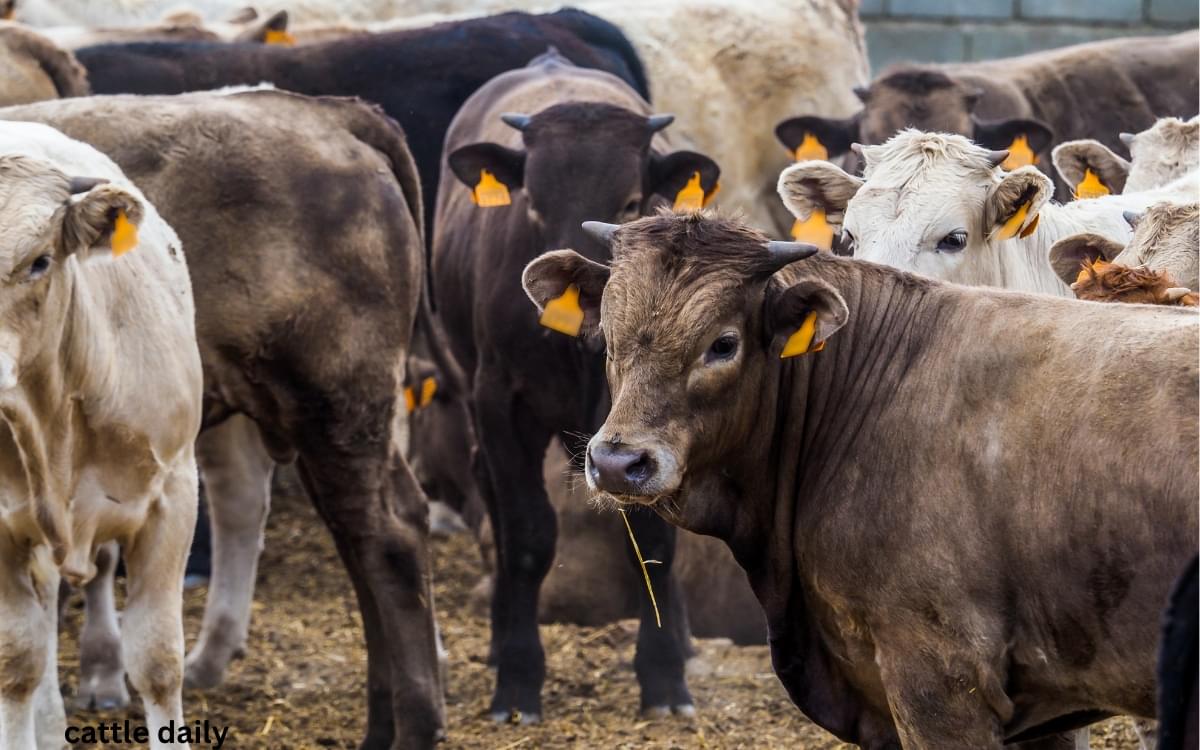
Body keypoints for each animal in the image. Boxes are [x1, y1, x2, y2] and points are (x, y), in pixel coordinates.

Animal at [431, 50, 719, 722]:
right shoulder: (500, 402)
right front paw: (518, 681)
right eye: (533, 203)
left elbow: (653, 535)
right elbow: (528, 536)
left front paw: (664, 677)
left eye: (635, 200)